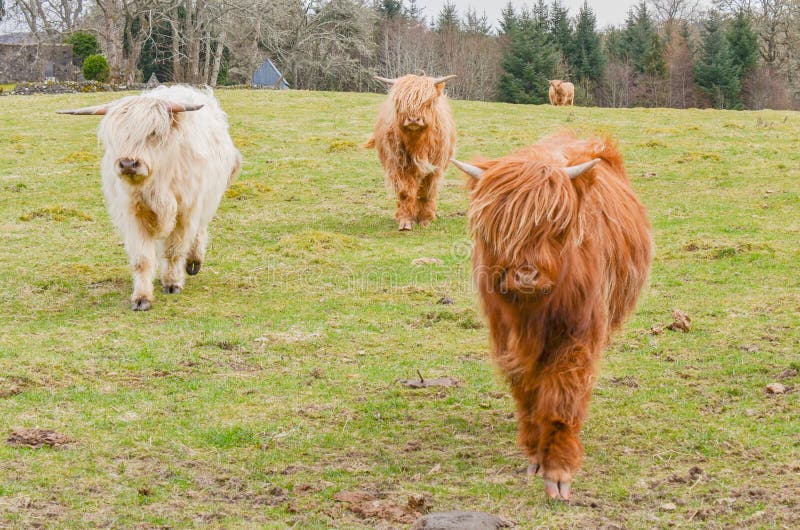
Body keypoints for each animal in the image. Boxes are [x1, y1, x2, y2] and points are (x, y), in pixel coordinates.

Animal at [58, 85, 242, 311]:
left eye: (152, 132)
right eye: (117, 135)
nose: (128, 163)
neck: (156, 185)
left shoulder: (185, 211)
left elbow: (174, 250)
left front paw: (172, 283)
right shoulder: (134, 214)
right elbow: (142, 258)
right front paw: (142, 297)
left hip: (207, 200)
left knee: (200, 229)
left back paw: (193, 261)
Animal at [366, 74, 457, 231]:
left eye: (427, 102)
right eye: (401, 102)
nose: (413, 119)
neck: (417, 145)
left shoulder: (434, 169)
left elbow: (426, 193)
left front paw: (425, 220)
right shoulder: (398, 166)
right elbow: (405, 192)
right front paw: (405, 221)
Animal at [451, 132, 652, 500]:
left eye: (554, 224)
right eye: (498, 227)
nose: (526, 276)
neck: (532, 313)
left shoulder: (578, 333)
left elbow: (563, 396)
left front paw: (558, 471)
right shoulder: (507, 337)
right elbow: (527, 393)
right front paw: (534, 455)